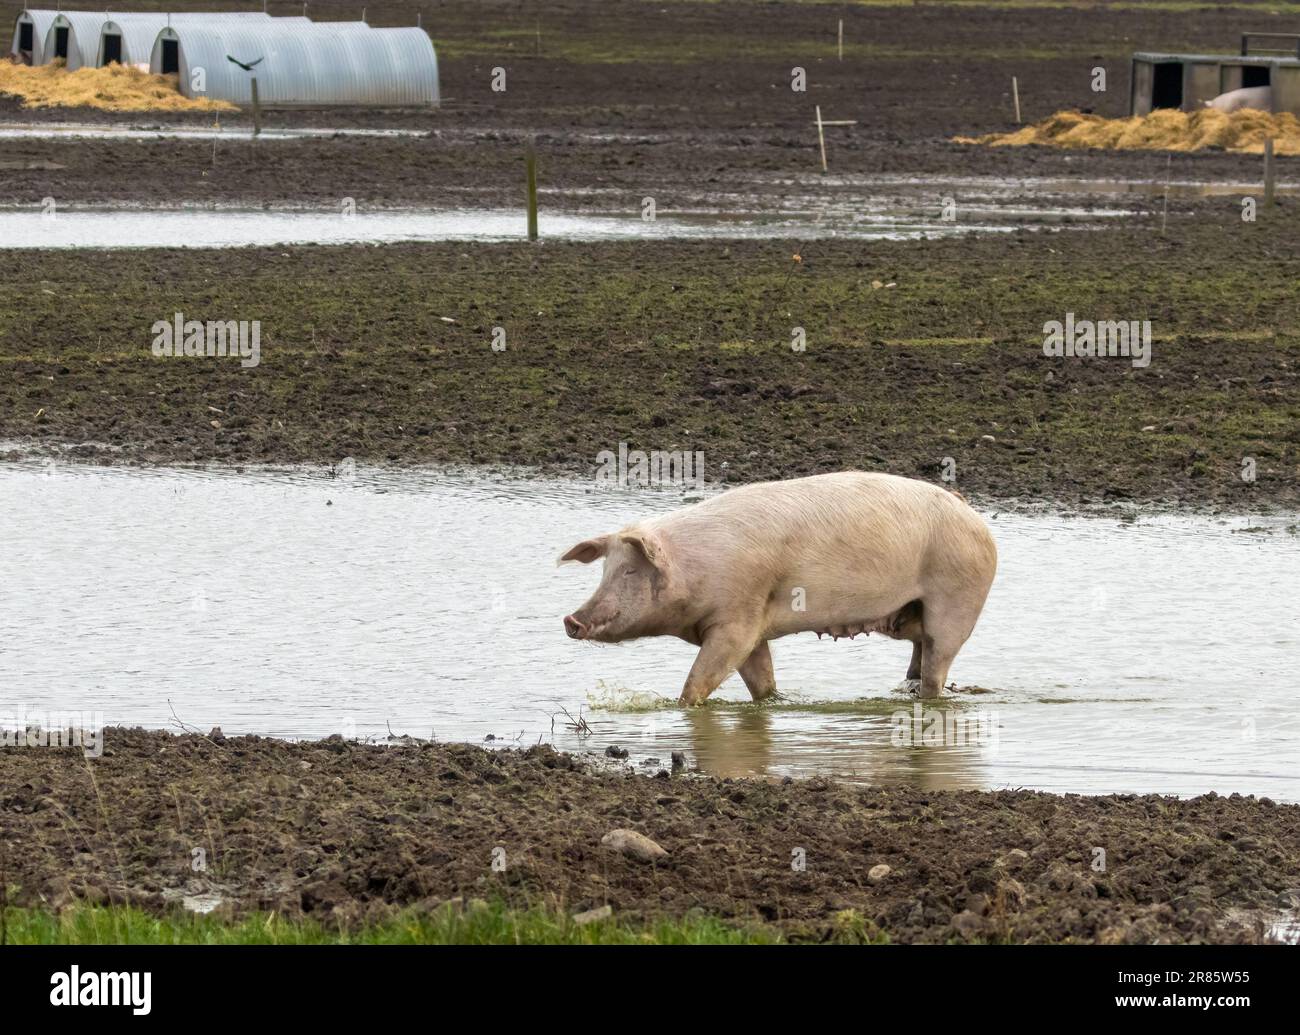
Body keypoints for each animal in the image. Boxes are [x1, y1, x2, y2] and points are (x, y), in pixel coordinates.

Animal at [559, 472, 997, 704]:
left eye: (630, 571)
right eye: (604, 569)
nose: (570, 620)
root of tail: (970, 512)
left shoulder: (736, 622)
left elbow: (699, 679)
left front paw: (680, 707)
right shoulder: (753, 632)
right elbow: (762, 680)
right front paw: (773, 702)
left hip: (958, 600)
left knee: (937, 665)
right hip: (907, 616)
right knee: (918, 655)